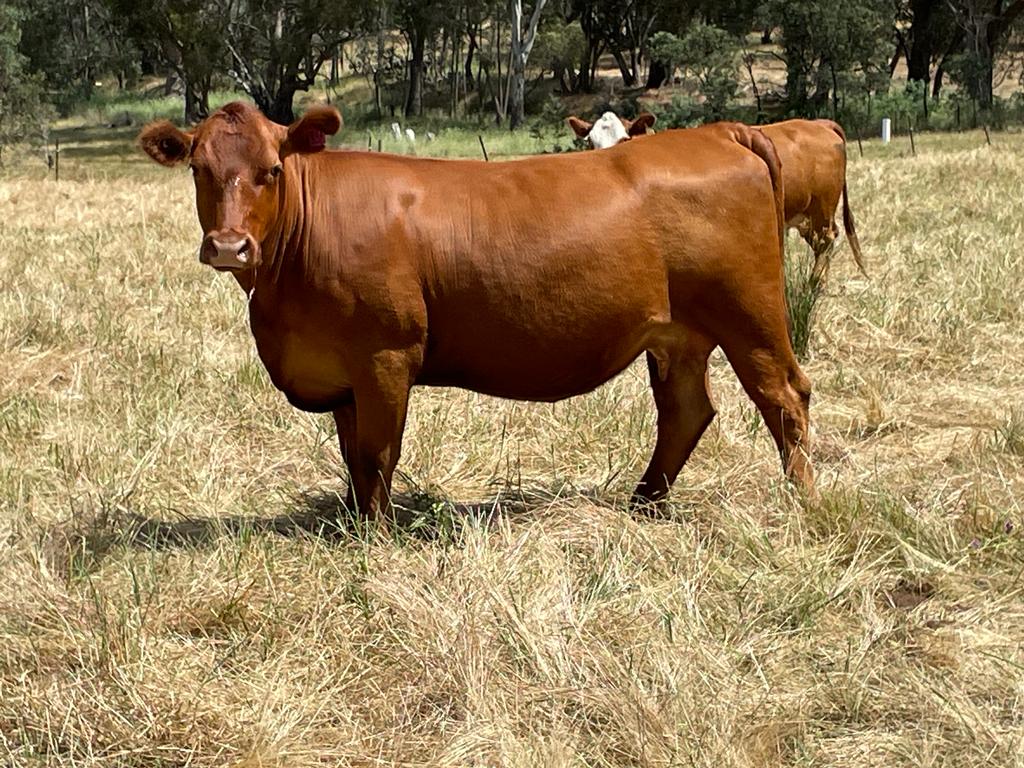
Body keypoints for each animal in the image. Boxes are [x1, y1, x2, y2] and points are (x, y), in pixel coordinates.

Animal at [139, 101, 813, 520]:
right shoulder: (342, 372)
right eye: (199, 169)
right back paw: (643, 504)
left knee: (785, 397)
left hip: (750, 315)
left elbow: (377, 454)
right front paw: (355, 524)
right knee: (686, 410)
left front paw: (375, 538)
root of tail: (722, 130)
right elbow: (353, 458)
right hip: (678, 334)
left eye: (273, 169)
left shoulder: (385, 356)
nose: (229, 246)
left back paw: (803, 503)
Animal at [567, 113, 866, 280]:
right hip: (807, 217)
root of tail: (818, 124)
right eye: (590, 142)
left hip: (822, 211)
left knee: (826, 243)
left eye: (624, 139)